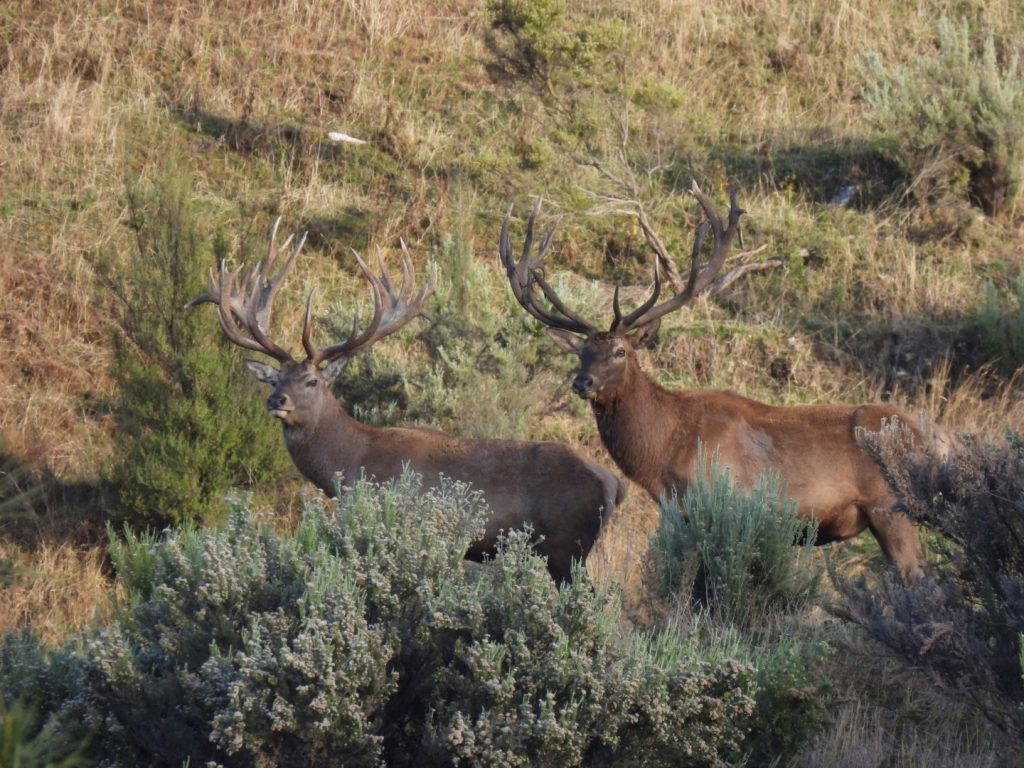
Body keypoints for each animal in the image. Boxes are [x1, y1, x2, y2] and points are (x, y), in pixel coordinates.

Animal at [185, 219, 626, 583]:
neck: (349, 463)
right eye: (275, 377)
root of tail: (612, 483)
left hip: (566, 546)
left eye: (311, 381)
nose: (277, 400)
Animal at [499, 183, 940, 582]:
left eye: (621, 351)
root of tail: (934, 438)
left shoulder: (715, 504)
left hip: (889, 506)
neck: (662, 452)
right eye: (582, 353)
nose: (582, 382)